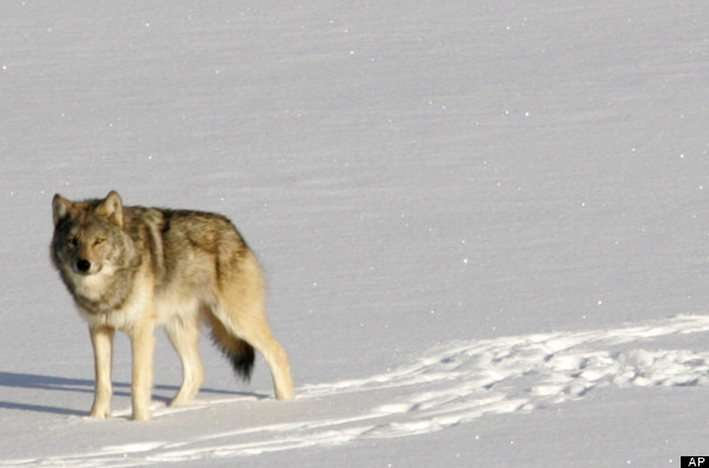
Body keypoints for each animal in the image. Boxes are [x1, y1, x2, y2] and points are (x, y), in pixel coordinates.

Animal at [50, 191, 294, 420]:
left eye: (98, 241)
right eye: (72, 241)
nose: (83, 264)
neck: (105, 290)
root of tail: (234, 230)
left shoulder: (141, 333)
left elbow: (137, 383)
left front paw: (139, 422)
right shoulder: (99, 329)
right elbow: (102, 383)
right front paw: (95, 419)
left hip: (237, 321)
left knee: (278, 354)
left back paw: (286, 403)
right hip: (177, 328)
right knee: (197, 372)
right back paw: (174, 409)